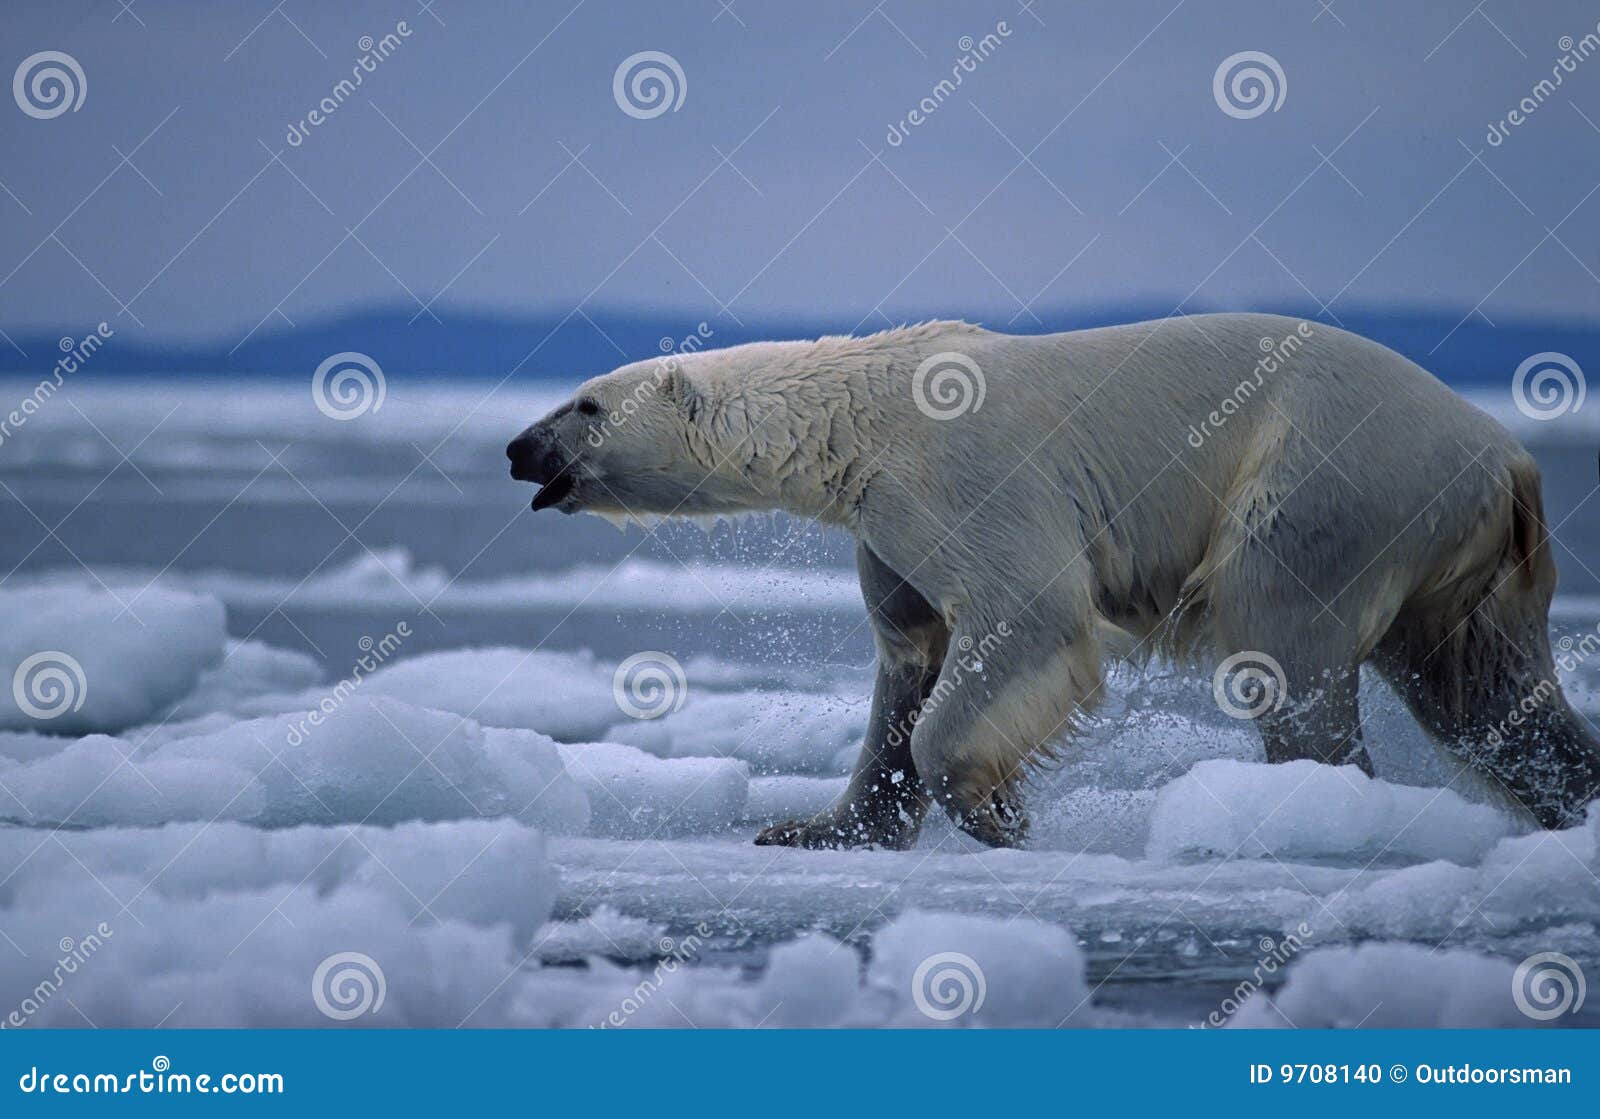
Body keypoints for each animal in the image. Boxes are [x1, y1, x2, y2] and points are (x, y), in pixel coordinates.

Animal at [506, 312, 1600, 848]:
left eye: (585, 403)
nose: (517, 447)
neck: (858, 416)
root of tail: (1510, 458)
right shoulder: (884, 530)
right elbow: (907, 662)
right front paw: (814, 827)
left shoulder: (964, 473)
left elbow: (1024, 613)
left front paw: (997, 814)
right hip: (1462, 564)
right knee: (1485, 691)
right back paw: (1567, 800)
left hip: (1324, 480)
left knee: (1281, 640)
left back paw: (1308, 809)